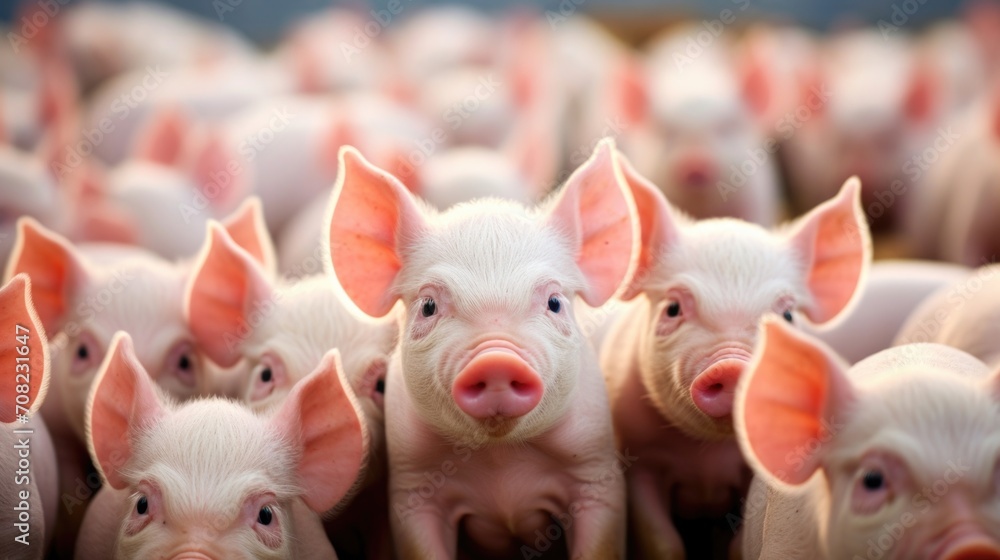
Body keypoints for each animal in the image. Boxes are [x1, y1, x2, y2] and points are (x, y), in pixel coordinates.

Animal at [326, 139, 634, 558]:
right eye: (428, 306)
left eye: (554, 302)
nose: (496, 359)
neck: (498, 461)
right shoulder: (413, 485)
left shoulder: (595, 472)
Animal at [596, 159, 869, 558]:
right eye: (673, 308)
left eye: (788, 316)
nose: (733, 363)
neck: (705, 461)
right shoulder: (639, 461)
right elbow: (663, 540)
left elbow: (738, 542)